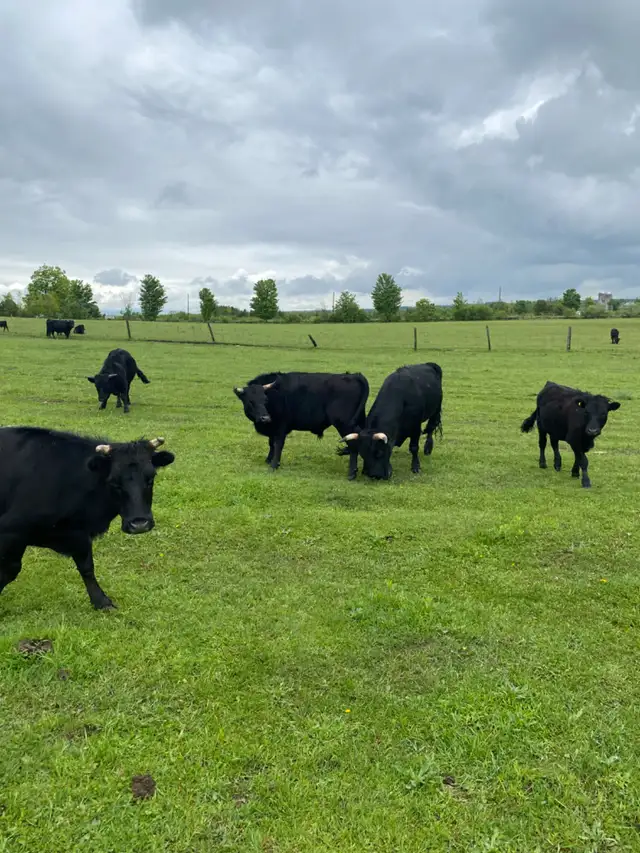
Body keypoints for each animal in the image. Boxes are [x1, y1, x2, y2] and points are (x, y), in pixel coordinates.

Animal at [0, 427, 175, 610]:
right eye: (114, 482)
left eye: (151, 478)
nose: (139, 523)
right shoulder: (11, 531)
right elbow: (9, 571)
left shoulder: (79, 533)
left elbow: (87, 567)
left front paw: (101, 601)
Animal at [233, 371, 369, 472]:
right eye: (251, 401)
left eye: (265, 400)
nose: (265, 418)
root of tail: (354, 375)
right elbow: (271, 444)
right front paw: (268, 460)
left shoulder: (281, 427)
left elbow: (278, 445)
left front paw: (274, 465)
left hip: (344, 424)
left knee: (354, 443)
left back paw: (352, 472)